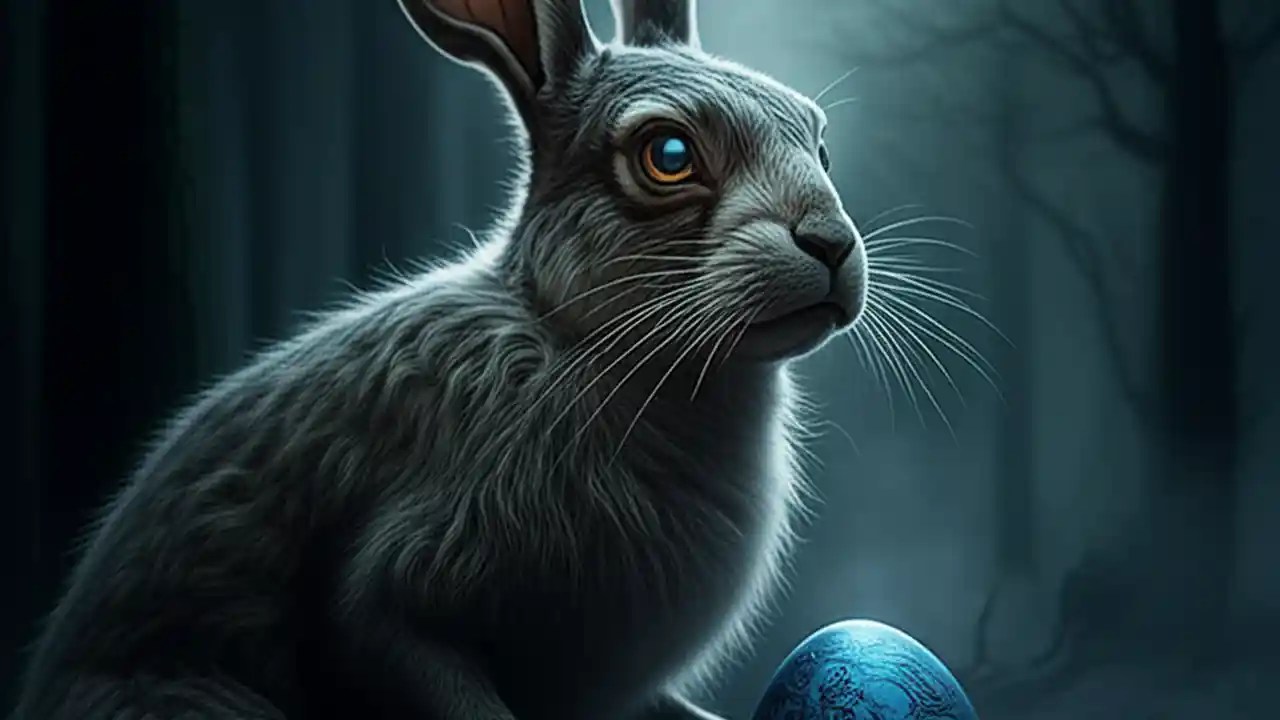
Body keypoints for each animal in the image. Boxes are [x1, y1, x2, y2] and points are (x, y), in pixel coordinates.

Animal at [13, 0, 867, 718]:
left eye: (822, 145)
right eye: (669, 153)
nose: (830, 244)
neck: (577, 339)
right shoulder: (409, 590)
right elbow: (391, 638)